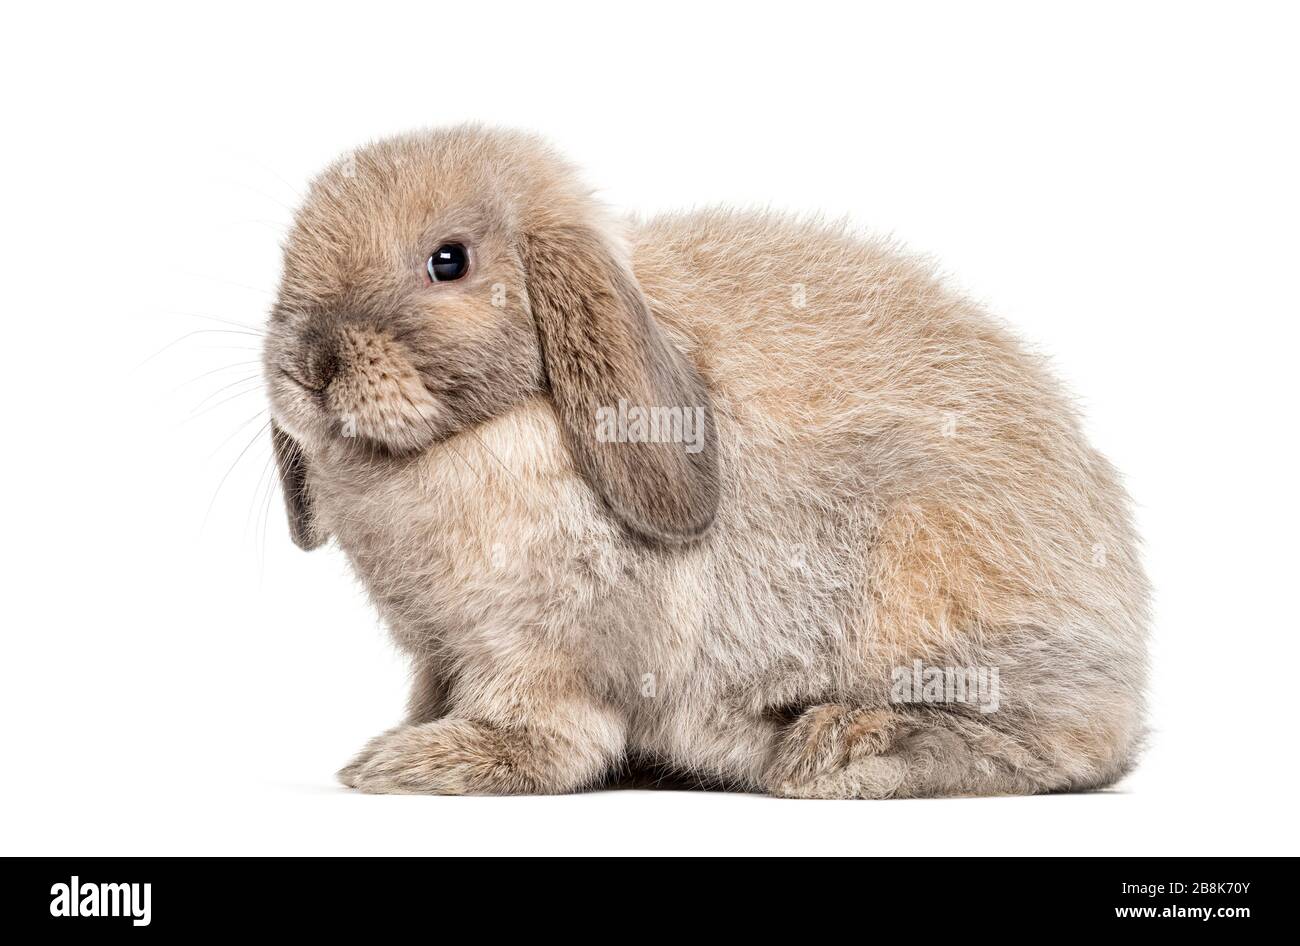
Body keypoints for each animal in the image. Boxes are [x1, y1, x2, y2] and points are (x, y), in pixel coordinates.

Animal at [263, 125, 1149, 798]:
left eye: (449, 260)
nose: (308, 364)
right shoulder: (437, 650)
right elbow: (432, 691)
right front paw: (404, 738)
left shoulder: (543, 649)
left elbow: (540, 726)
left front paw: (421, 762)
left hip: (935, 583)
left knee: (1064, 747)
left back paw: (837, 749)